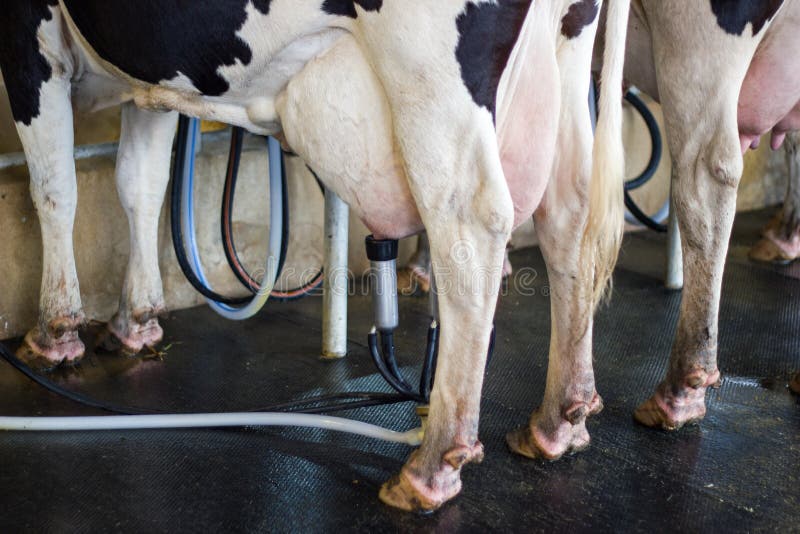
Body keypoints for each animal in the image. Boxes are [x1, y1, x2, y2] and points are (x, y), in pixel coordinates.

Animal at [0, 0, 629, 512]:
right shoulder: (147, 71)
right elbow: (141, 182)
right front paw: (135, 321)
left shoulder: (28, 33)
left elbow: (55, 185)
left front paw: (55, 333)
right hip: (567, 54)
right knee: (568, 212)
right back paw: (557, 421)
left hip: (427, 76)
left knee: (471, 221)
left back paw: (432, 465)